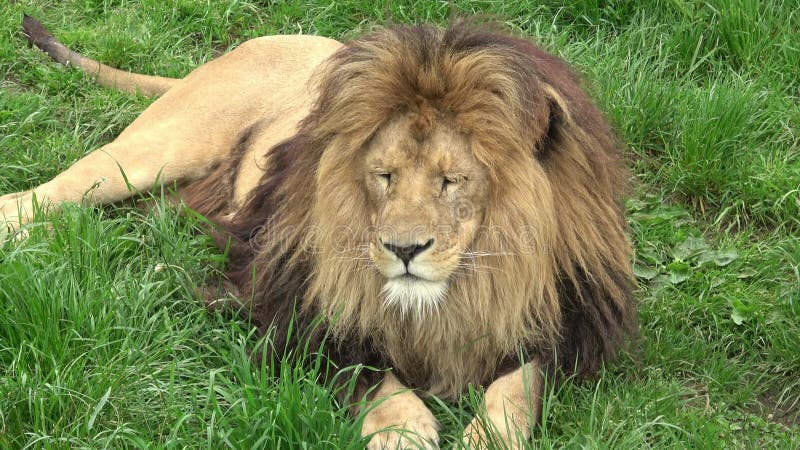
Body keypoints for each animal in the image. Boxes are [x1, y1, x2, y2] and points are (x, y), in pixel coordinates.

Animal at [1, 16, 637, 449]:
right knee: (35, 197)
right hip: (150, 153)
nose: (404, 250)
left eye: (451, 181)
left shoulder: (557, 320)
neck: (457, 290)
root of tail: (268, 40)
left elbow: (515, 389)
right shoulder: (298, 307)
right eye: (383, 175)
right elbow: (370, 376)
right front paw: (405, 430)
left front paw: (489, 436)